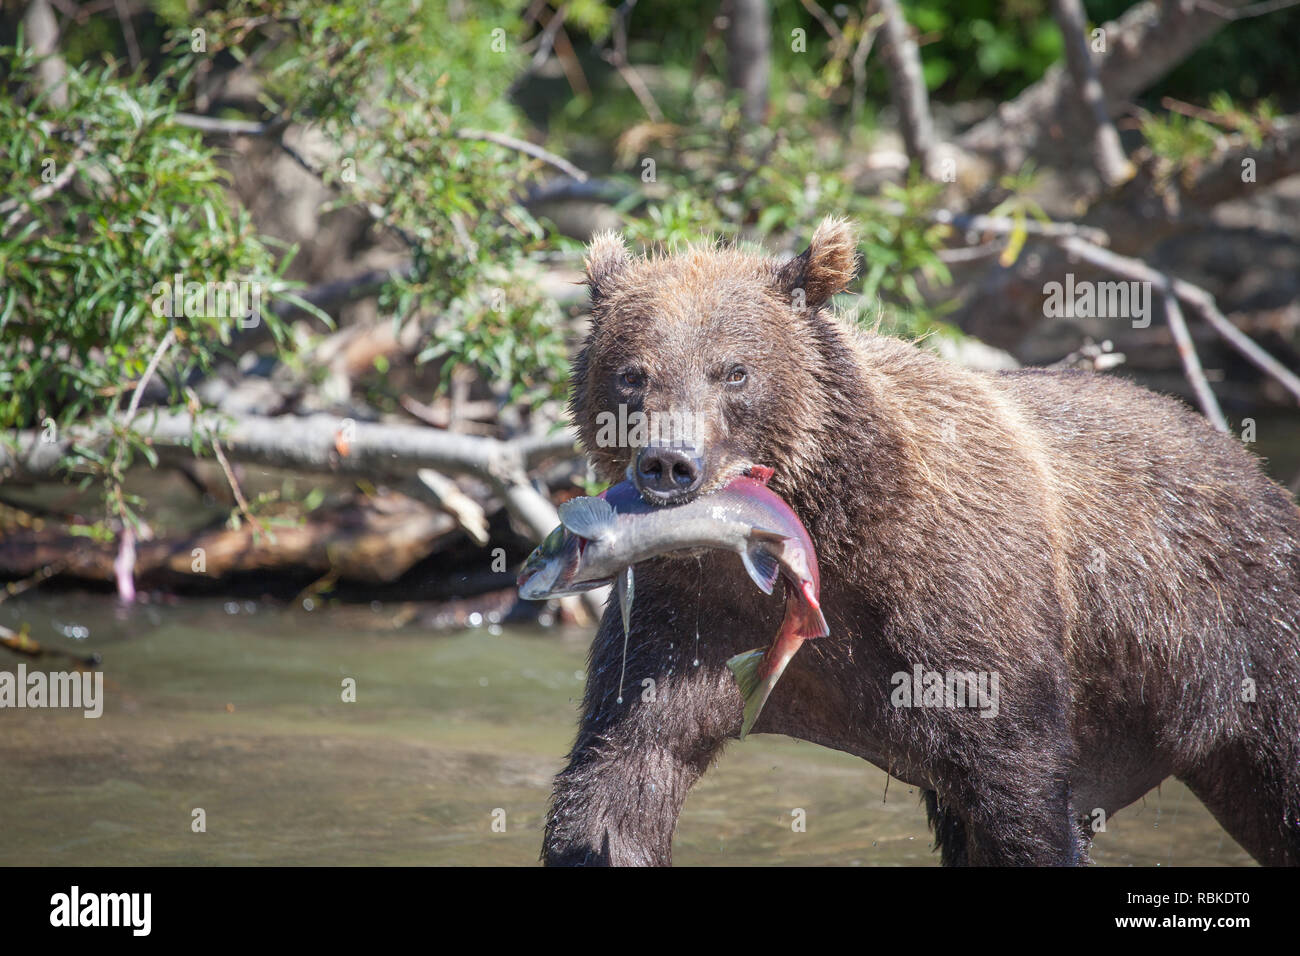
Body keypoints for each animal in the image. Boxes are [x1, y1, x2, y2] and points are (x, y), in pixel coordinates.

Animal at [541, 216, 1300, 866]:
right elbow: (624, 774)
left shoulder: (965, 602)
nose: (670, 463)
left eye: (734, 371)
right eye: (633, 373)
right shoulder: (686, 618)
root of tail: (1253, 466)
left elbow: (1018, 791)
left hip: (1241, 636)